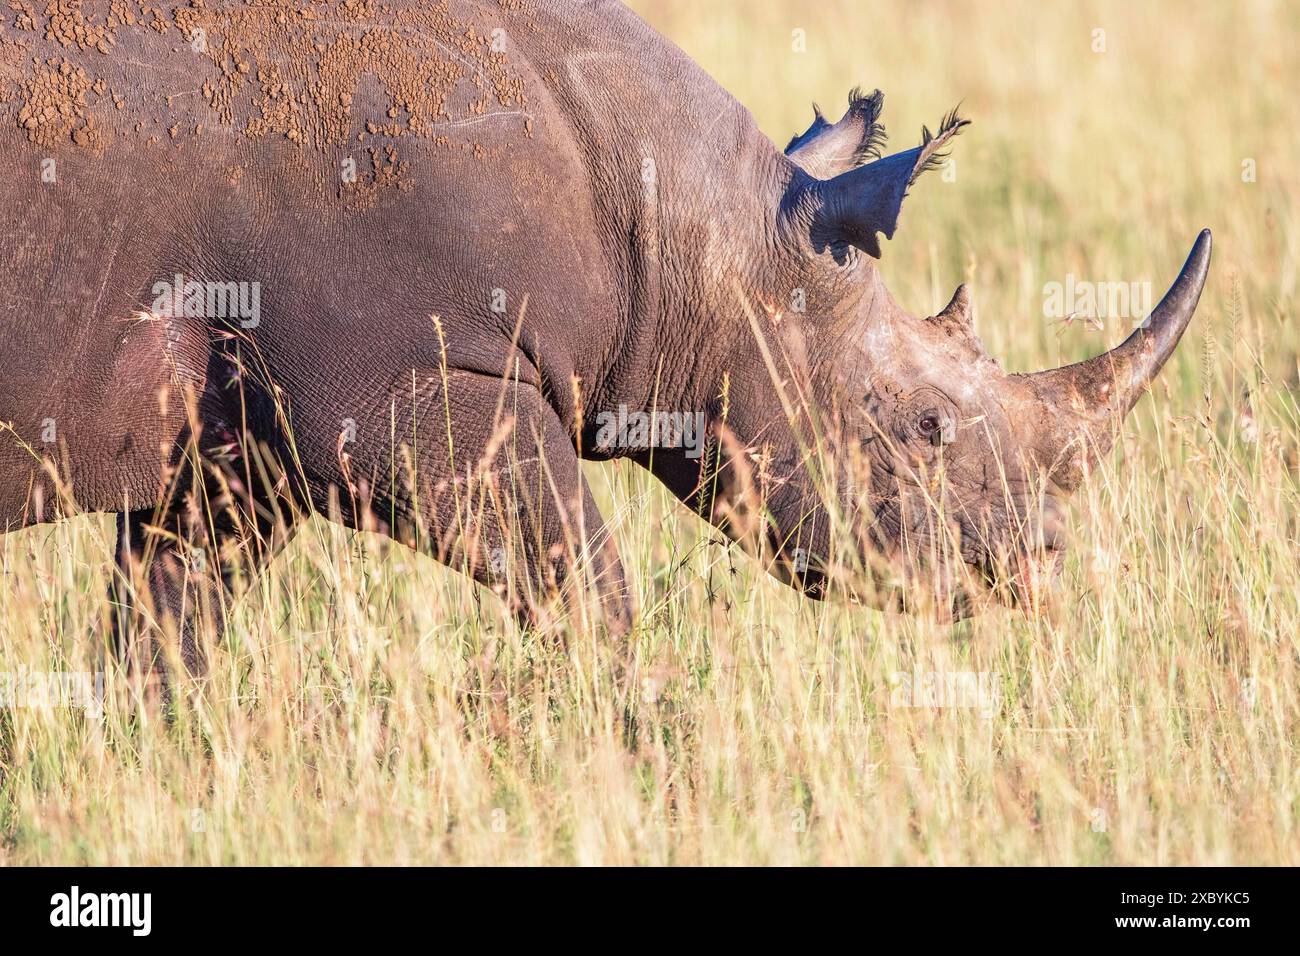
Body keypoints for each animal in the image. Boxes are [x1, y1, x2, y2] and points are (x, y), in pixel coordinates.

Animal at [0, 1, 1209, 667]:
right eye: (920, 427)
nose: (1042, 564)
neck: (700, 235)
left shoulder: (232, 445)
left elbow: (167, 628)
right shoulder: (404, 388)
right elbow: (588, 590)